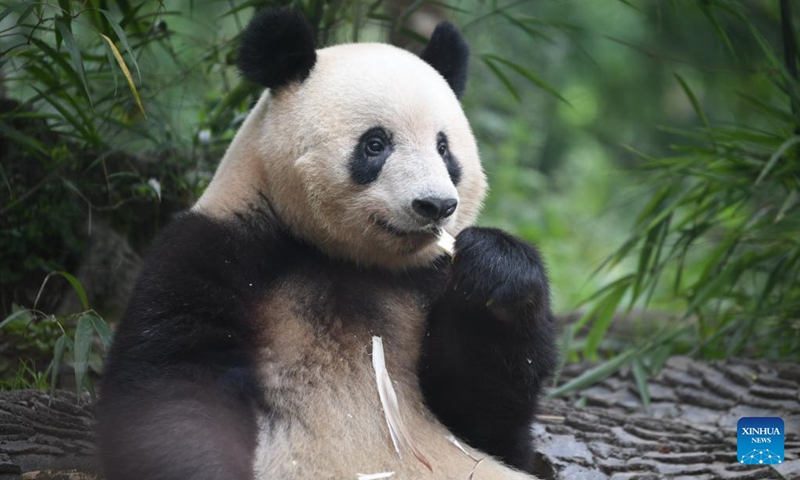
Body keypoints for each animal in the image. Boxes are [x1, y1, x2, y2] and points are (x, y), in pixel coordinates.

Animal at [97, 8, 557, 480]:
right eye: (375, 143)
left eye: (444, 148)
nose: (435, 205)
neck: (346, 259)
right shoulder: (215, 251)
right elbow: (175, 387)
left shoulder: (425, 281)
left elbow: (482, 410)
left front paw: (494, 273)